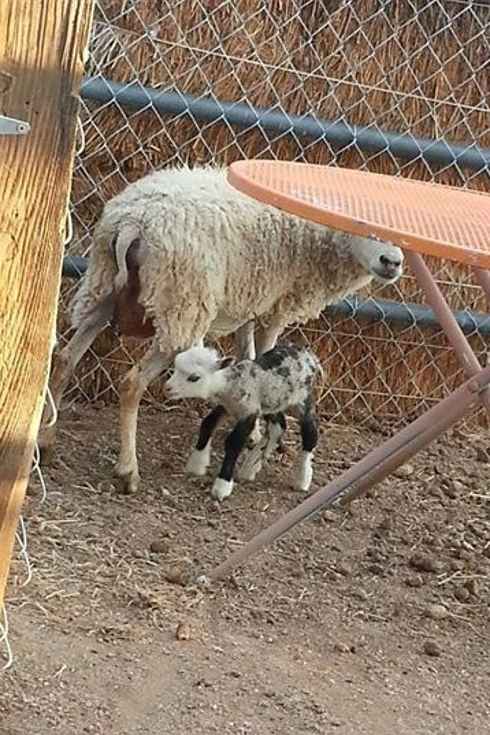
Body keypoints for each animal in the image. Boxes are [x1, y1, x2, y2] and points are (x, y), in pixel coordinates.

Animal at [165, 343, 322, 501]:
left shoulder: (249, 411)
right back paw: (250, 467)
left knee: (310, 433)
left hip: (302, 398)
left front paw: (222, 485)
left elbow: (234, 443)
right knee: (278, 426)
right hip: (273, 401)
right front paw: (196, 465)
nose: (167, 389)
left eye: (194, 377)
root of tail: (310, 355)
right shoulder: (227, 407)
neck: (231, 384)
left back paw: (302, 479)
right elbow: (207, 424)